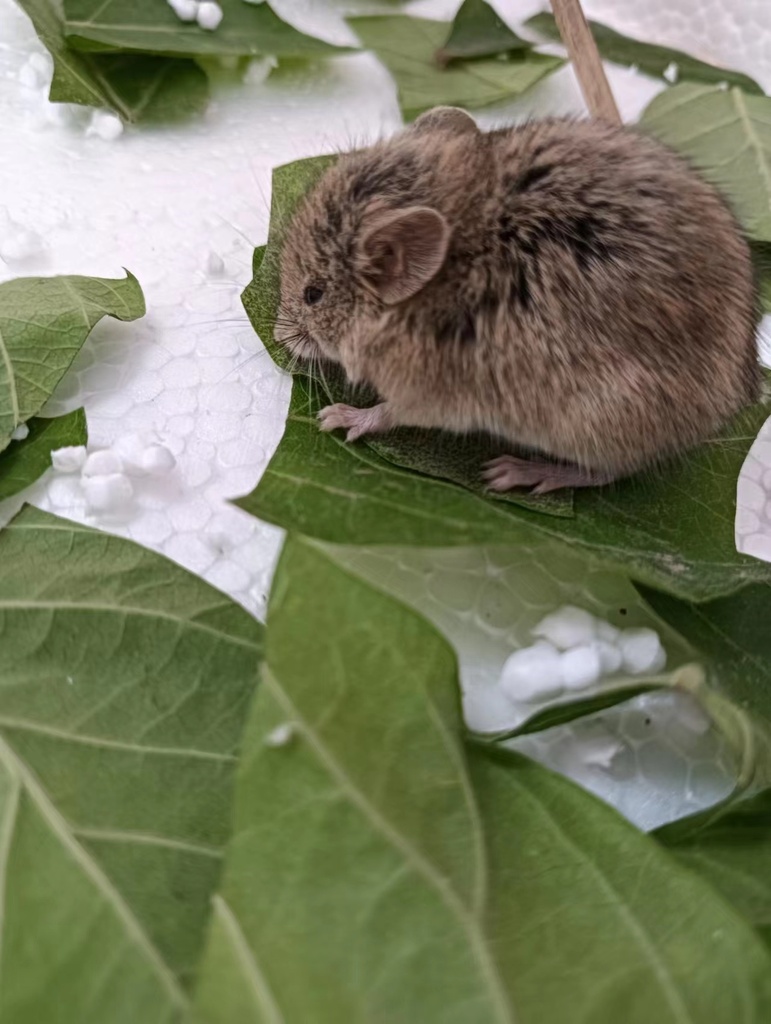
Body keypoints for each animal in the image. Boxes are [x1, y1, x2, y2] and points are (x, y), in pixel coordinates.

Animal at [275, 106, 760, 493]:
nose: (278, 337)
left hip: (593, 421)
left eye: (313, 294)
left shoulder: (429, 393)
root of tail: (731, 402)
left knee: (606, 472)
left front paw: (338, 417)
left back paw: (520, 472)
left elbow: (387, 413)